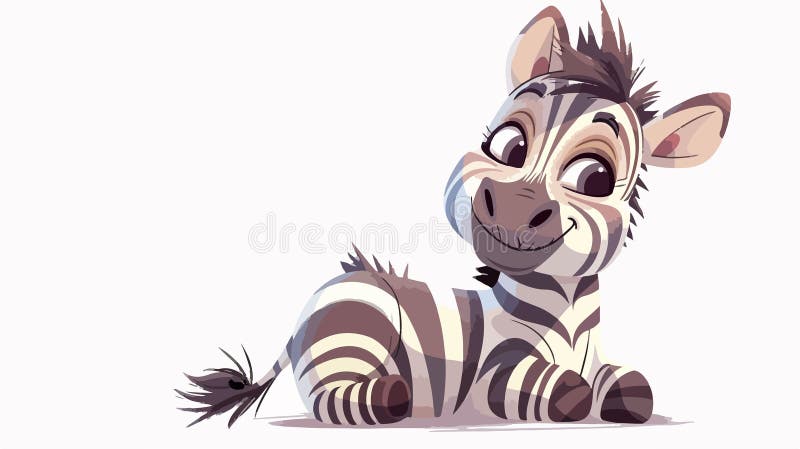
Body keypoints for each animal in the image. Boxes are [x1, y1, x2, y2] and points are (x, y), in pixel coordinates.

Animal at [177, 3, 731, 427]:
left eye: (595, 178)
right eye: (508, 146)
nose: (513, 206)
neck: (568, 317)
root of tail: (306, 311)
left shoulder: (598, 359)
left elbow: (632, 385)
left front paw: (621, 397)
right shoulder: (496, 373)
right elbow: (560, 390)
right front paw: (571, 394)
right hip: (354, 334)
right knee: (333, 397)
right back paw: (389, 395)